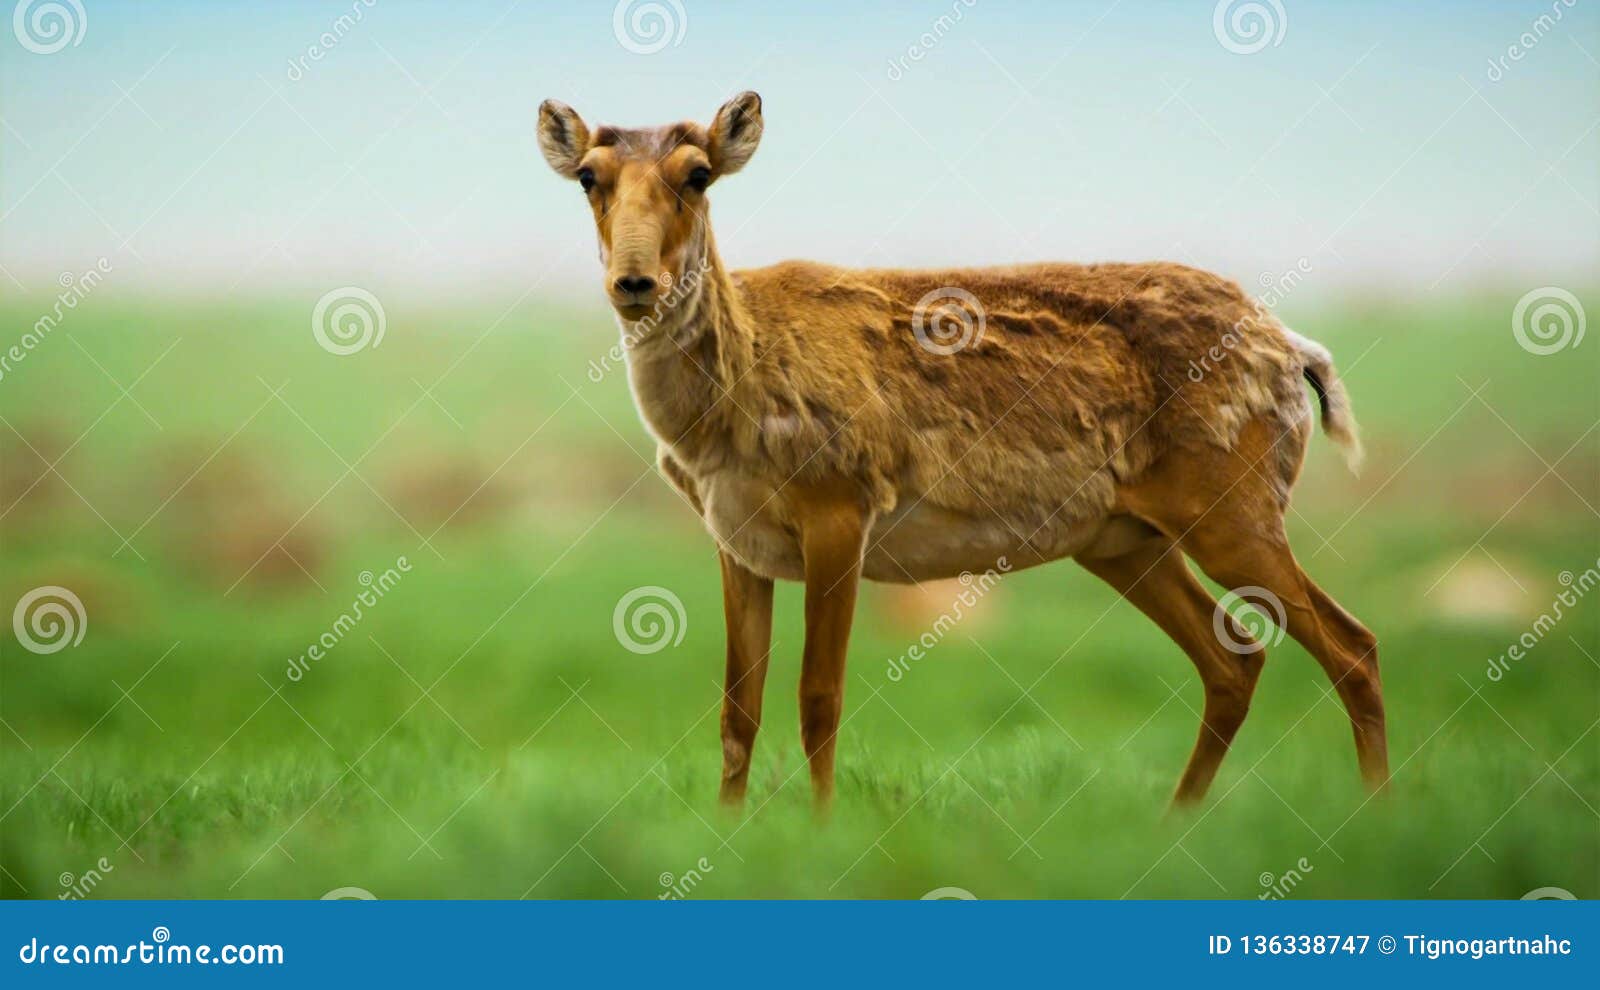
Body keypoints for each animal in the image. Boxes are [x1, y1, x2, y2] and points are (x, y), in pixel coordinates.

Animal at [537, 91, 1390, 811]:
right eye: (588, 177)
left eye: (698, 173)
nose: (634, 282)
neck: (727, 406)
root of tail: (1294, 348)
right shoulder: (737, 542)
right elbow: (736, 710)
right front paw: (730, 828)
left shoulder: (839, 509)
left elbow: (819, 697)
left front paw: (821, 827)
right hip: (1125, 541)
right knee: (1234, 658)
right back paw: (1176, 818)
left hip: (1233, 513)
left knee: (1353, 646)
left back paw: (1374, 810)